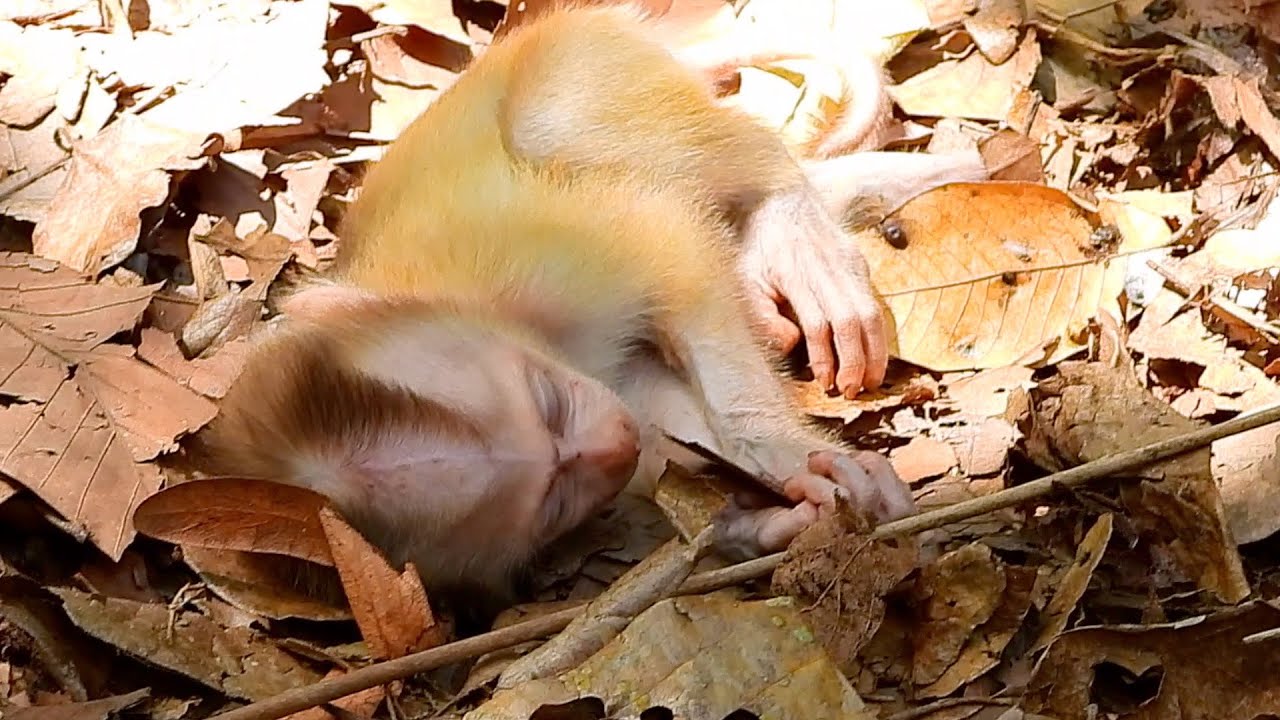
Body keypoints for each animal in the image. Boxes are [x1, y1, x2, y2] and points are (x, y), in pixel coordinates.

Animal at [195, 3, 916, 606]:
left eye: (548, 402)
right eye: (554, 503)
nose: (612, 446)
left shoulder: (529, 268)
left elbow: (667, 247)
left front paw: (777, 447)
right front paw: (765, 520)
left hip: (591, 63)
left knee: (575, 131)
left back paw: (794, 223)